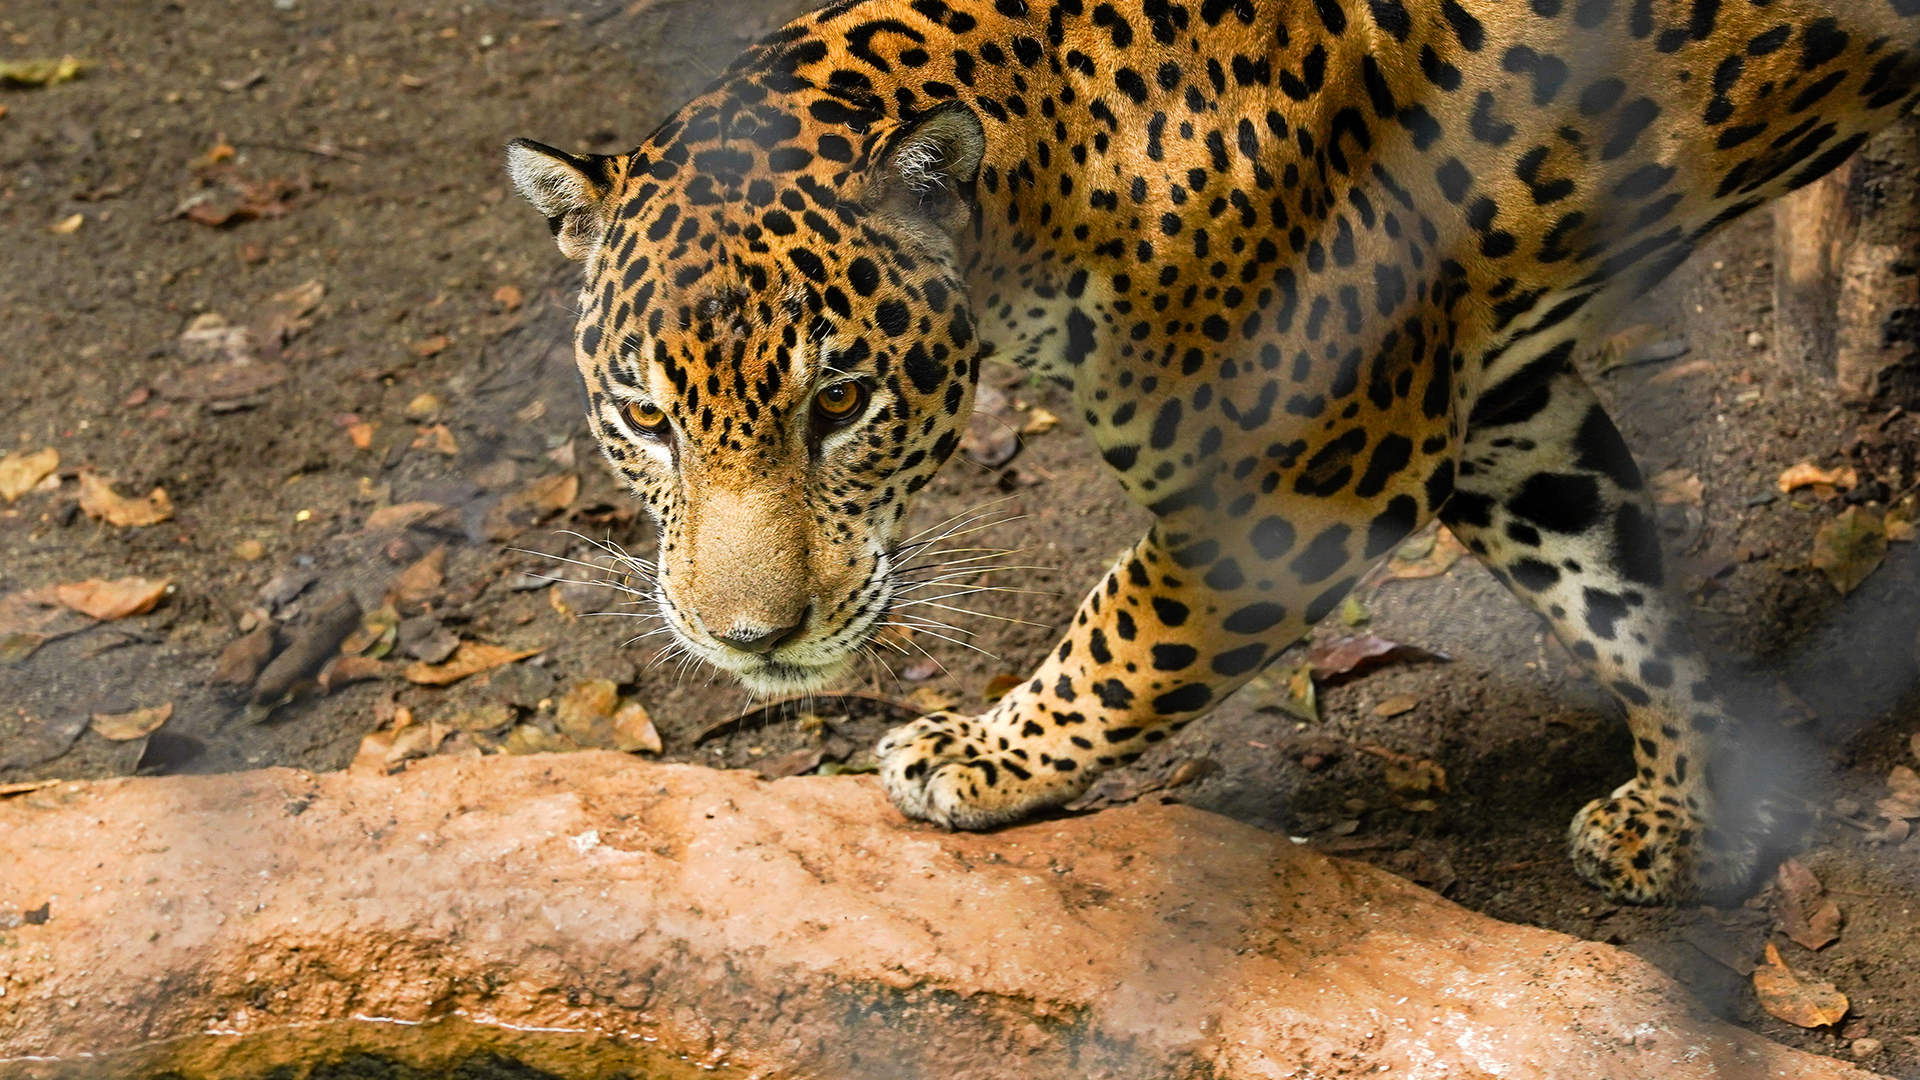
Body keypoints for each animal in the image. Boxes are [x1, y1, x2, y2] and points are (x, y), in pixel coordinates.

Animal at [507, 0, 1920, 905]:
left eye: (843, 401)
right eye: (646, 421)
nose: (750, 641)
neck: (1046, 174)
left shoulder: (1313, 473)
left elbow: (1124, 637)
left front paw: (980, 755)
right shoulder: (1496, 401)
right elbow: (1611, 586)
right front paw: (1699, 806)